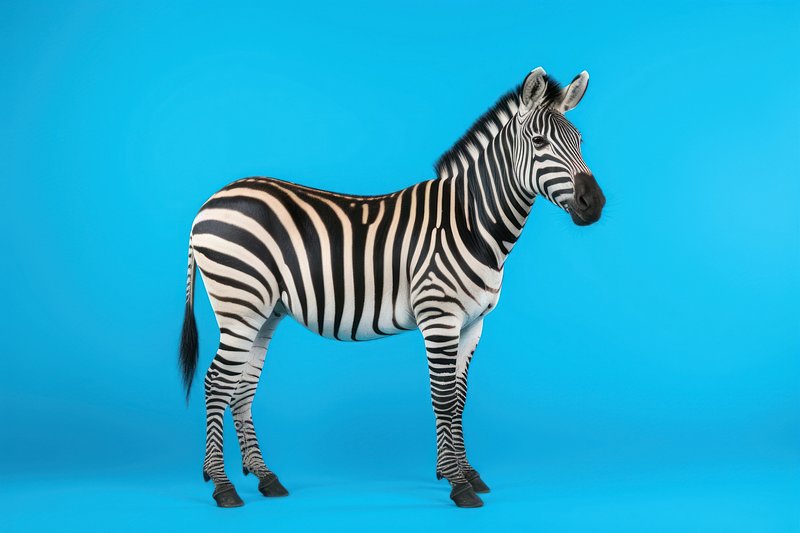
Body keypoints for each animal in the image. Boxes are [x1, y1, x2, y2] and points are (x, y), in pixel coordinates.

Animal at [179, 67, 605, 508]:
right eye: (538, 143)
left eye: (580, 142)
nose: (595, 204)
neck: (471, 222)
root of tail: (210, 202)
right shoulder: (439, 317)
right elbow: (443, 397)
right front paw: (458, 483)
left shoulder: (473, 324)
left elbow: (460, 397)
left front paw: (466, 472)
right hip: (239, 305)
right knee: (216, 383)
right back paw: (223, 485)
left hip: (264, 313)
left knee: (242, 388)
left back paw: (265, 477)